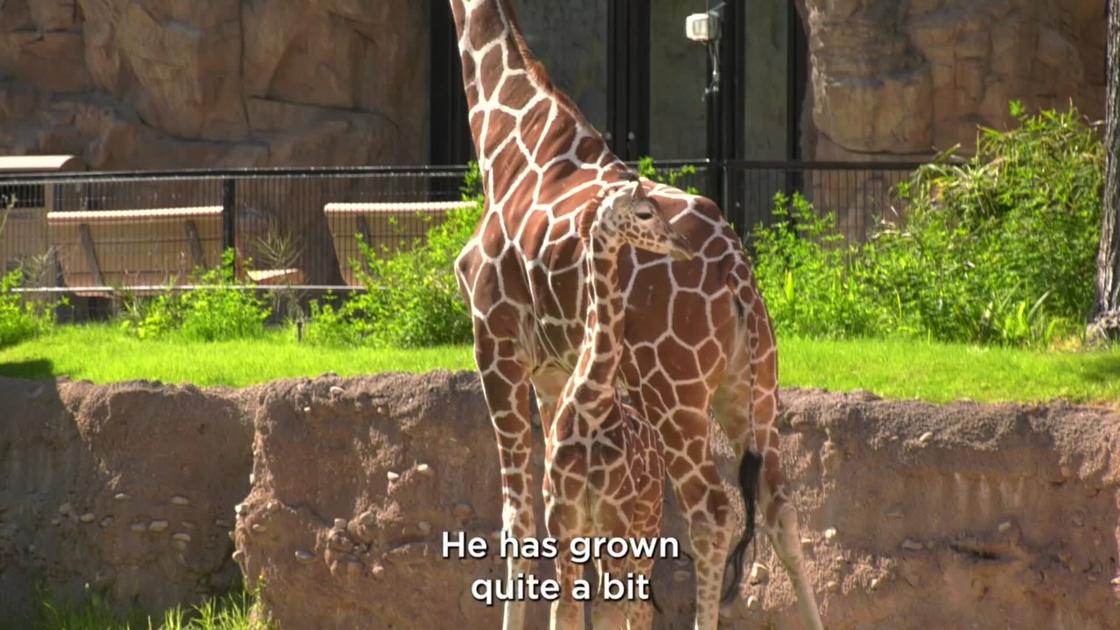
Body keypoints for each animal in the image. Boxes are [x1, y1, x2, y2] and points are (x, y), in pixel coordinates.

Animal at [545, 177, 685, 630]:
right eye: (645, 212)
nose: (681, 243)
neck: (590, 403)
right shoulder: (563, 522)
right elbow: (566, 609)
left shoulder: (614, 520)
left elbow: (607, 610)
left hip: (646, 521)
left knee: (637, 605)